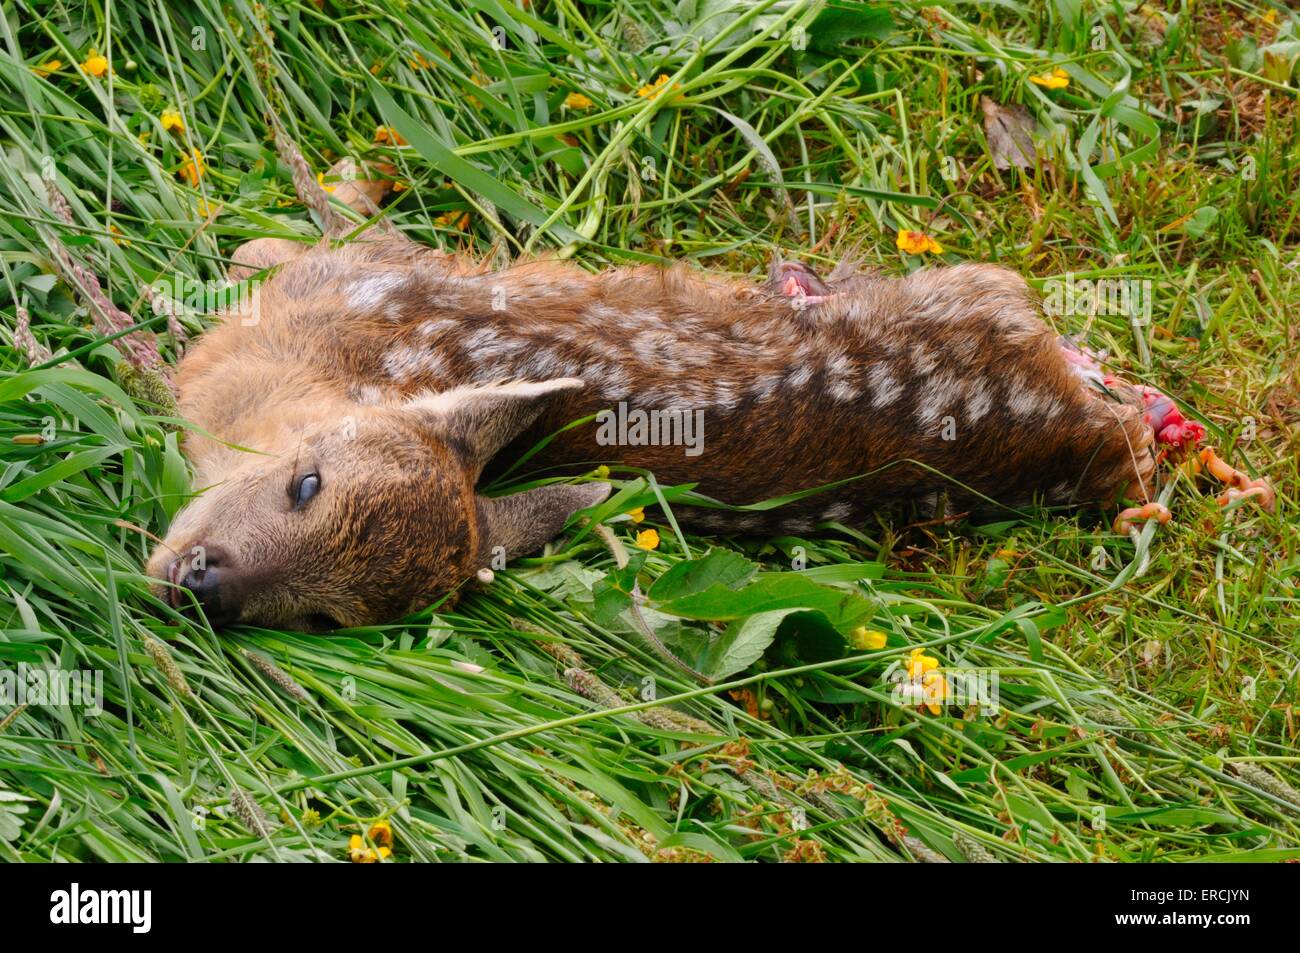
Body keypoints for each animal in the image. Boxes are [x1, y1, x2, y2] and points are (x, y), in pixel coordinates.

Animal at [144, 163, 1267, 631]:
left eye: (328, 618)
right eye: (303, 485)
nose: (202, 583)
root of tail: (1081, 453)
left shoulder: (356, 280)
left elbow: (296, 243)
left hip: (975, 290)